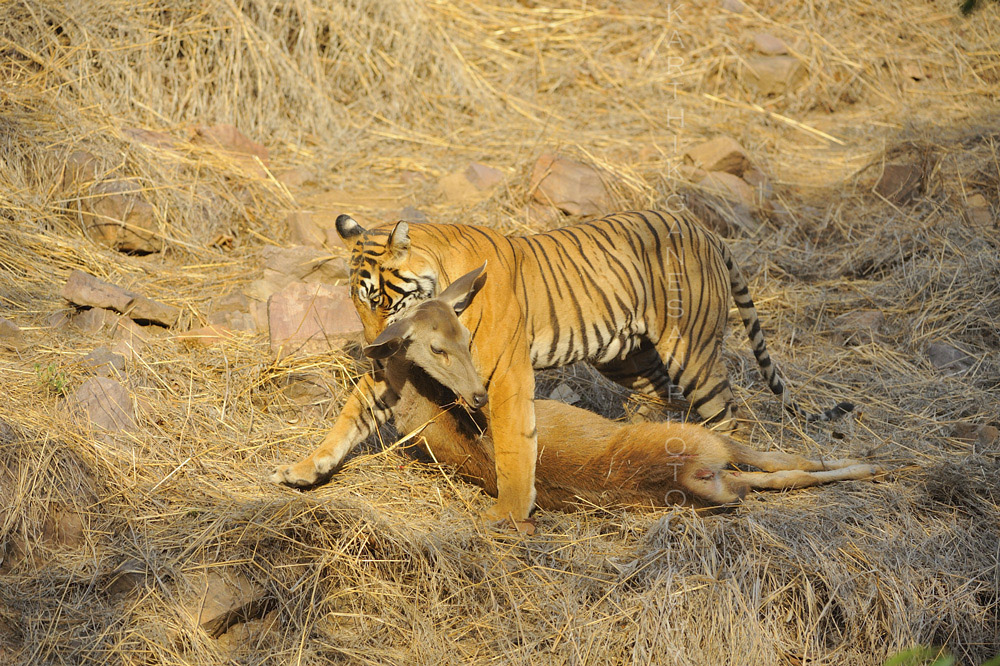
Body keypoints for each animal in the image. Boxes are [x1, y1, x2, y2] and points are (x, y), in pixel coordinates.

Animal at [270, 209, 853, 522]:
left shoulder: (503, 373)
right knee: (662, 400)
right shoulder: (393, 375)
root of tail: (704, 228)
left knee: (732, 418)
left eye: (382, 299)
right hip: (626, 357)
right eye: (356, 303)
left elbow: (511, 441)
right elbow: (349, 417)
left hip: (691, 352)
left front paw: (510, 510)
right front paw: (304, 470)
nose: (373, 348)